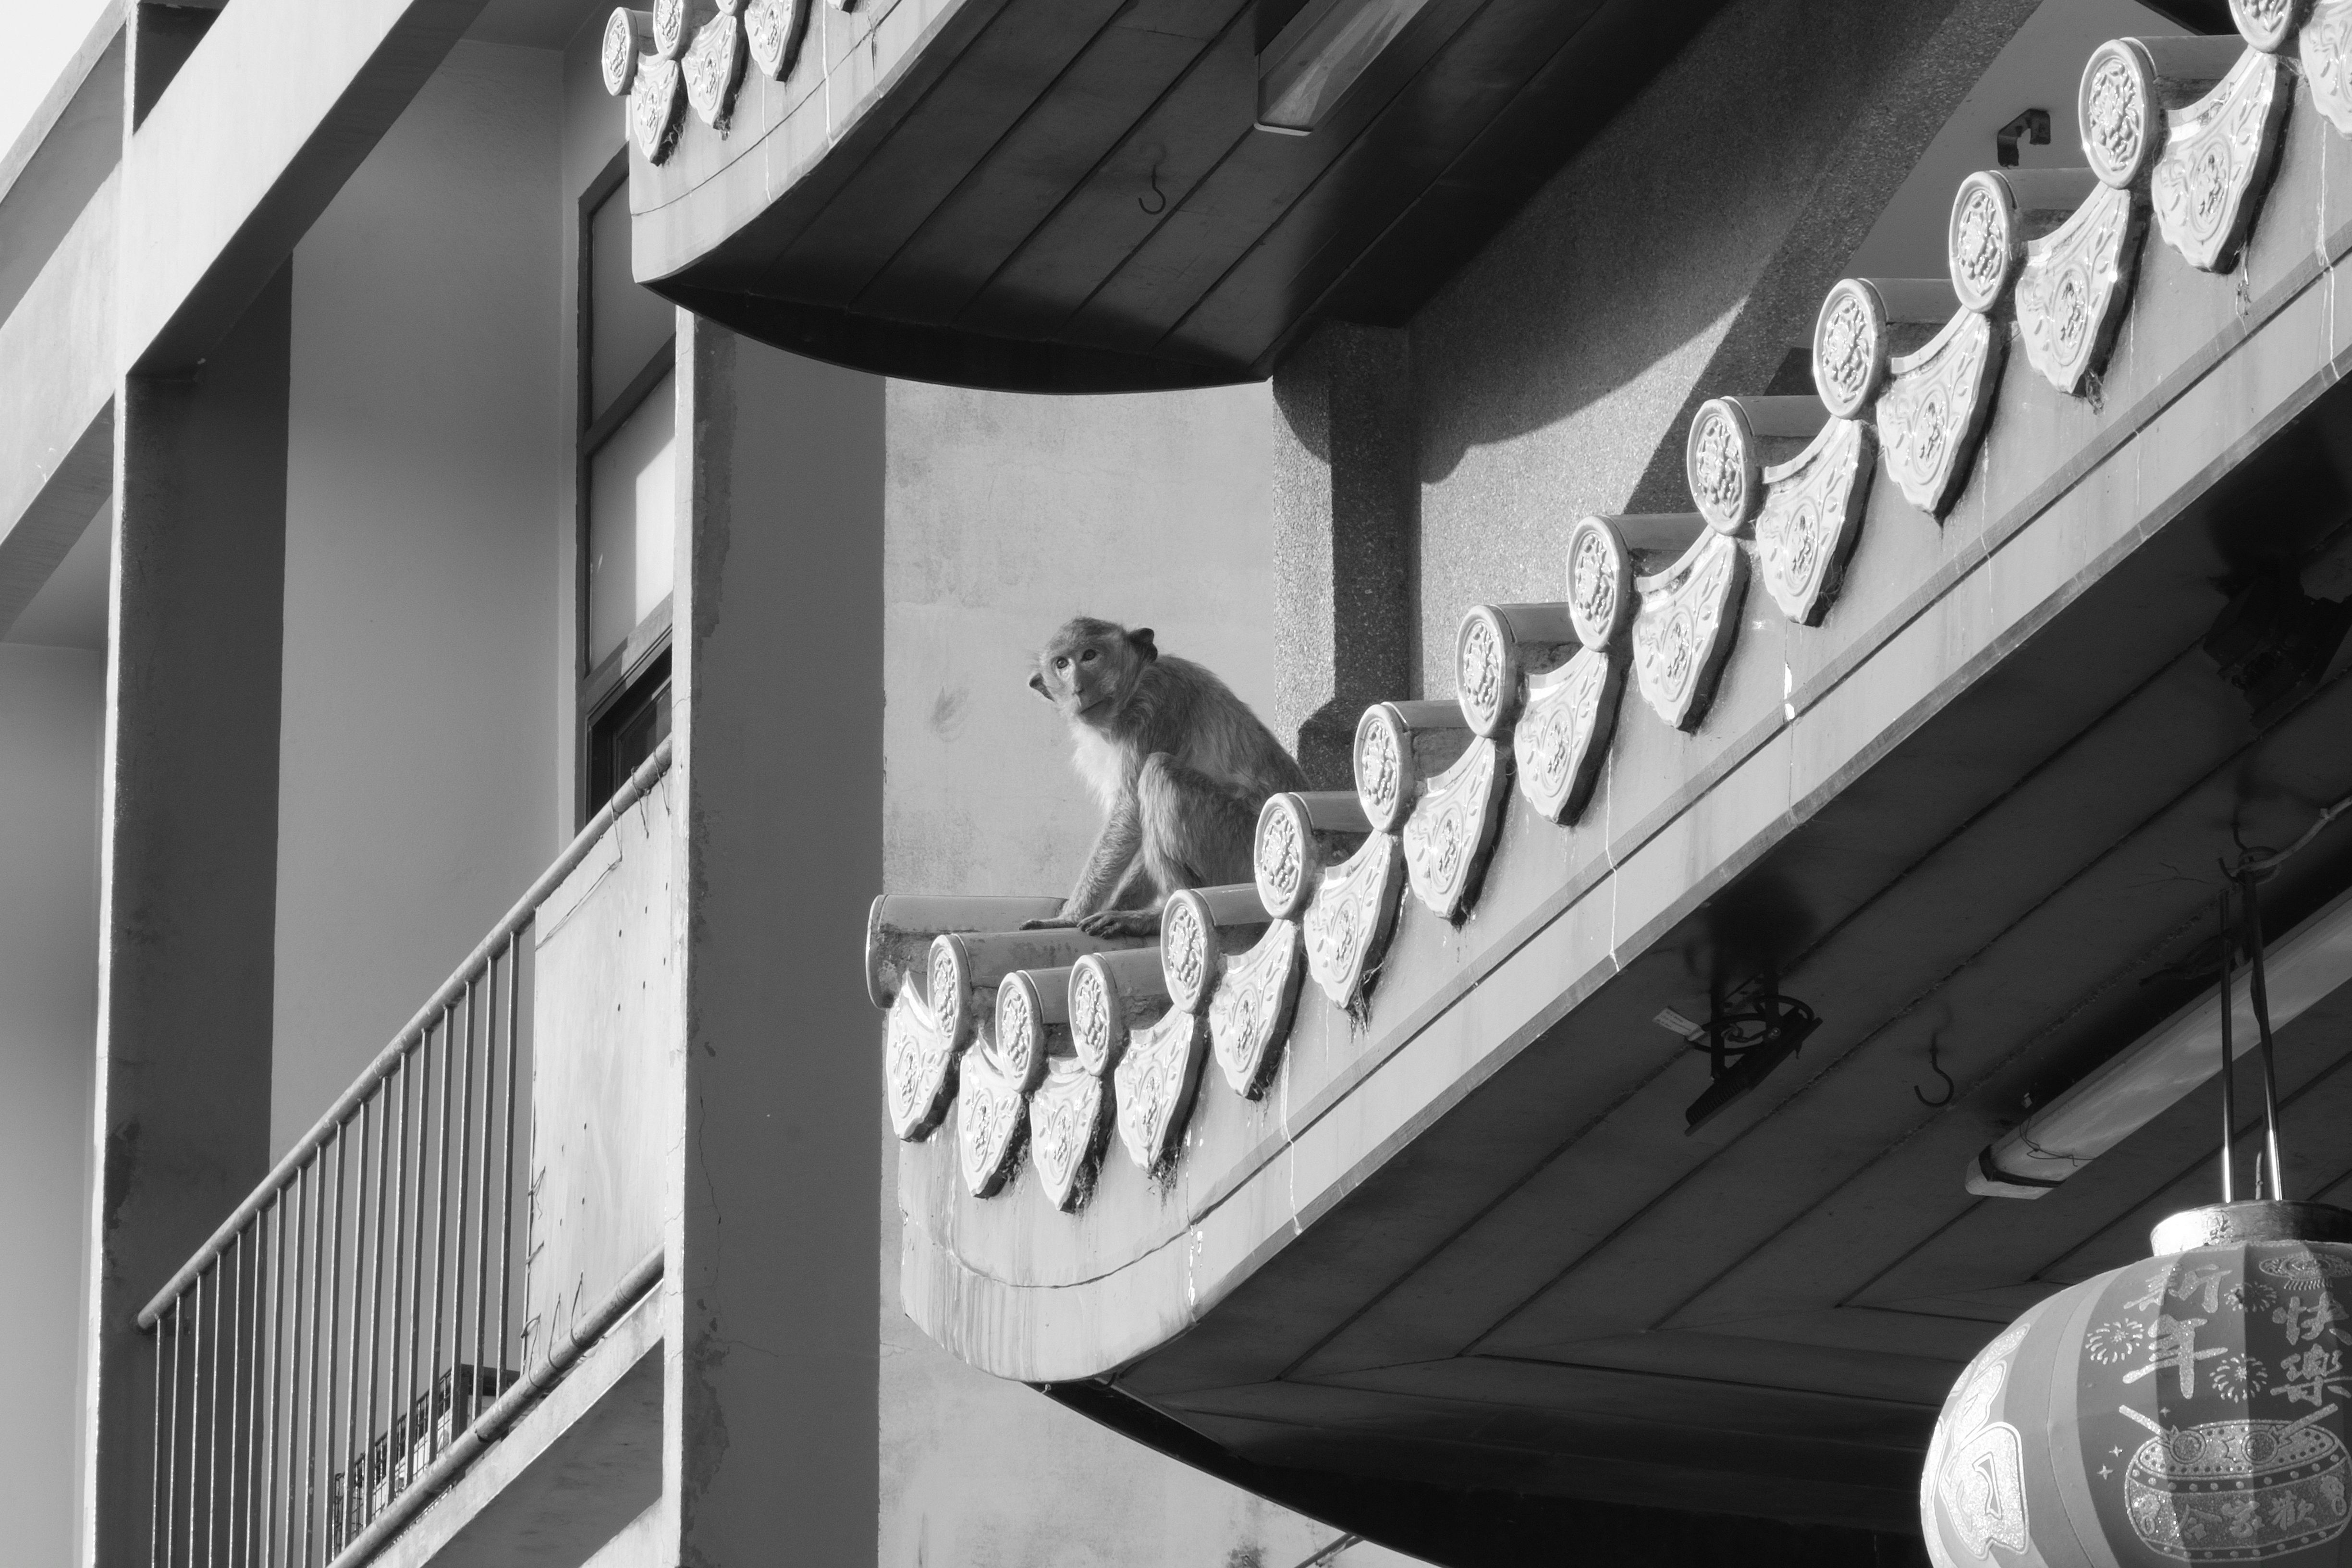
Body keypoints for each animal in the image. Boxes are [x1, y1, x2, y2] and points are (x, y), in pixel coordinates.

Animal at [1024, 617, 1308, 940]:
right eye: (1061, 663)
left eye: (1090, 656)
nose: (1078, 688)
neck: (1133, 690)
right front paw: (1119, 905)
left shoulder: (1156, 706)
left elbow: (1129, 812)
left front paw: (1070, 917)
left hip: (1247, 851)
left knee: (1159, 772)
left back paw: (1160, 914)